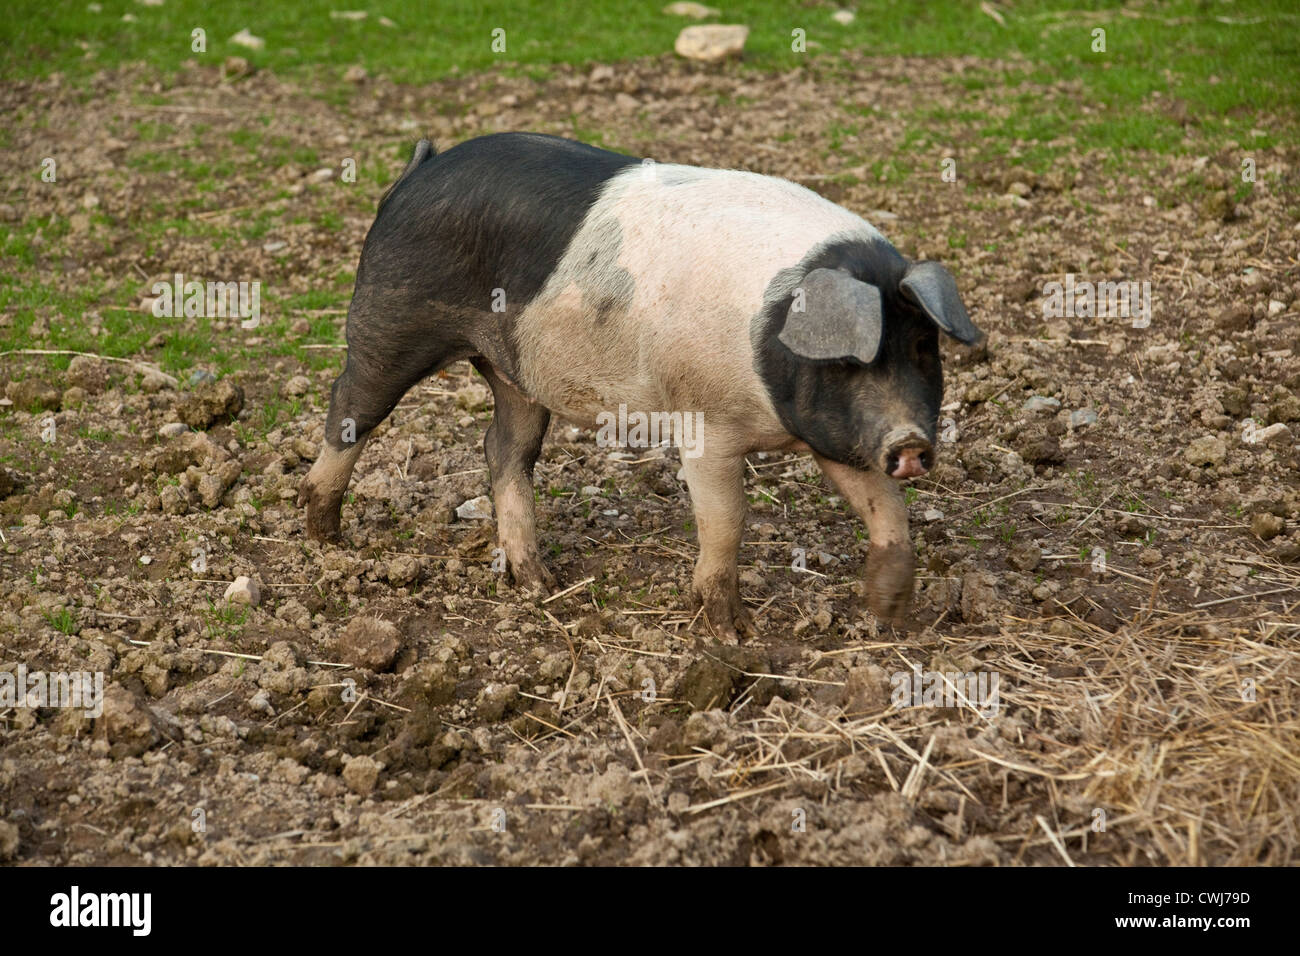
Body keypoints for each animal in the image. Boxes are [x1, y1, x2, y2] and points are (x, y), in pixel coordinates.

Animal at [300, 133, 984, 641]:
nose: (911, 444)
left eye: (922, 350)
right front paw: (734, 634)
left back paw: (540, 582)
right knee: (348, 409)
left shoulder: (837, 434)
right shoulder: (706, 421)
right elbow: (726, 521)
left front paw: (888, 616)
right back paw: (326, 536)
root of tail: (418, 171)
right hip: (389, 317)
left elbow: (887, 512)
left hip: (518, 373)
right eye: (847, 361)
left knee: (503, 450)